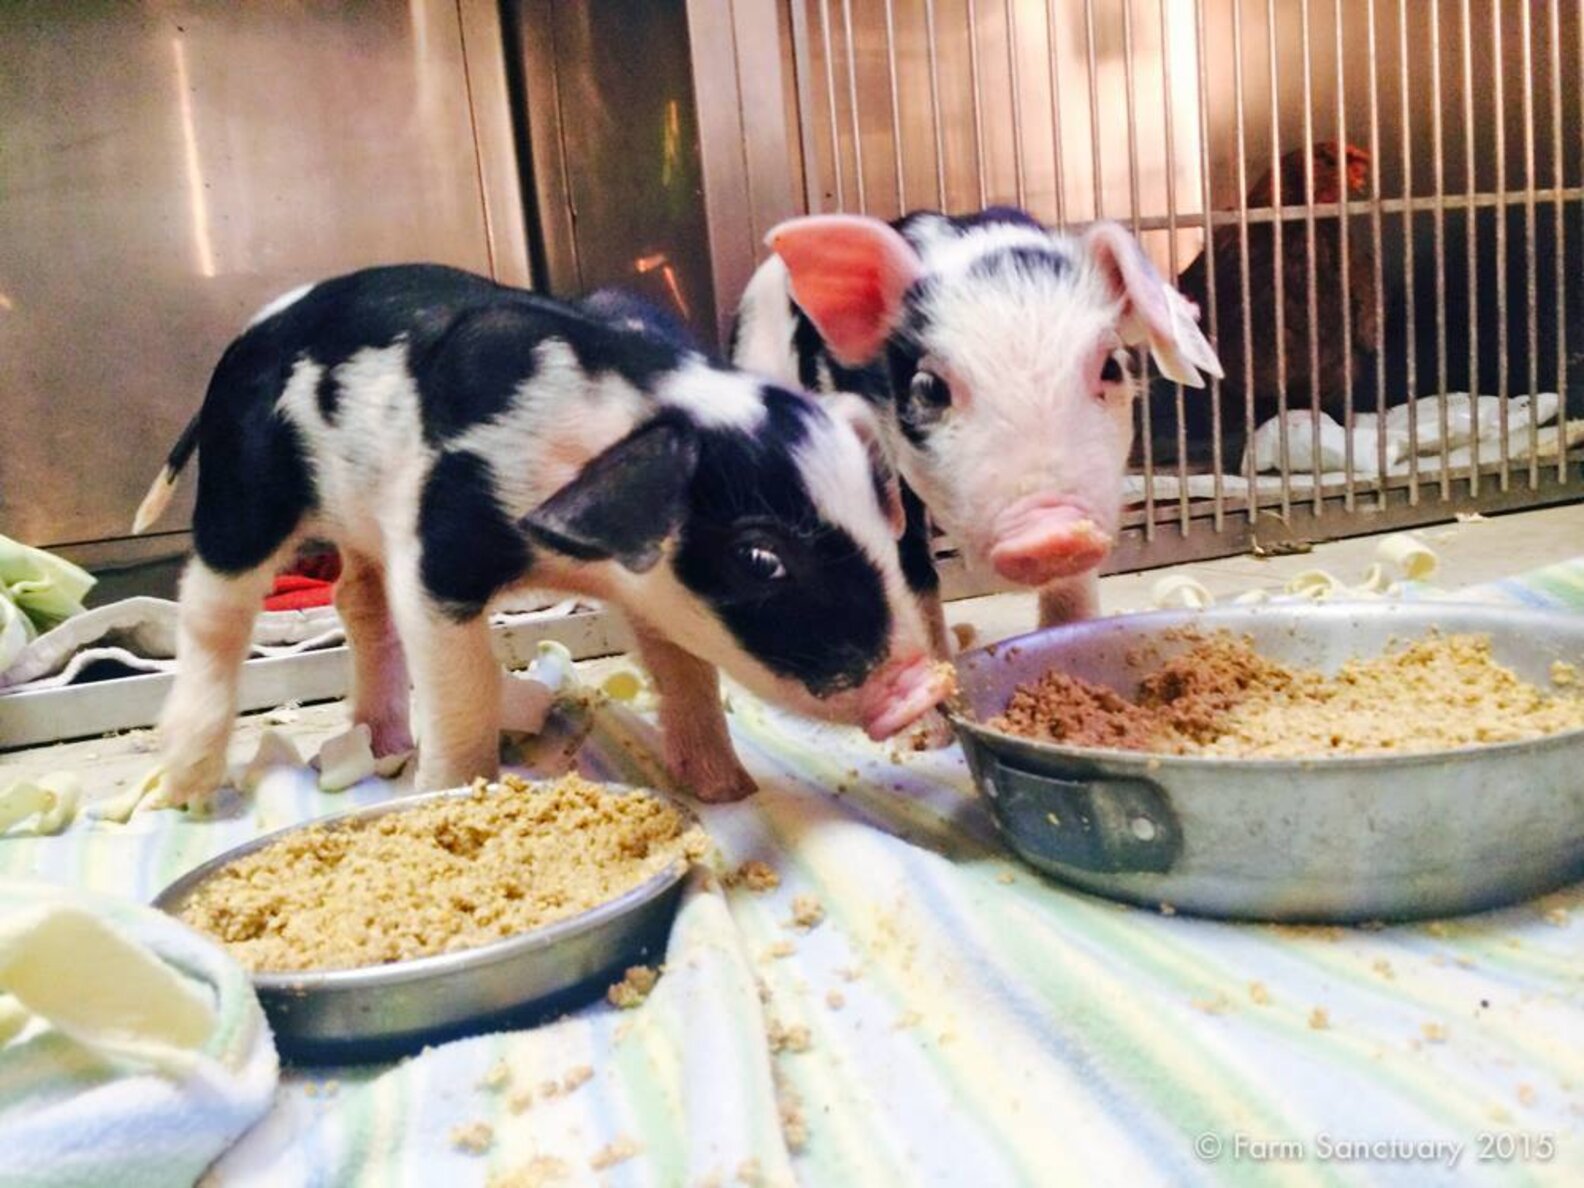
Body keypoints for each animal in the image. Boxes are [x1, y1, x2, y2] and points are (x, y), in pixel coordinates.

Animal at [130, 265, 952, 807]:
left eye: (881, 525)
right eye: (760, 557)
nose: (917, 686)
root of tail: (251, 334)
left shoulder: (651, 589)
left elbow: (687, 676)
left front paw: (729, 792)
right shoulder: (438, 549)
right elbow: (465, 685)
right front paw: (452, 794)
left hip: (356, 520)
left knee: (355, 602)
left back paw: (382, 746)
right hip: (241, 492)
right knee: (212, 613)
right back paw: (185, 789)